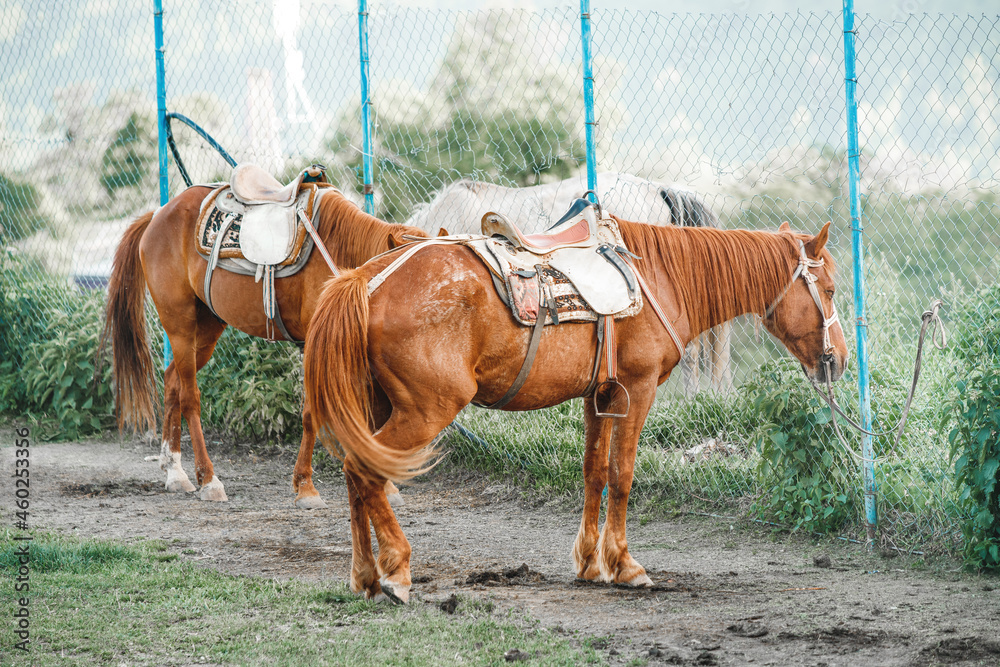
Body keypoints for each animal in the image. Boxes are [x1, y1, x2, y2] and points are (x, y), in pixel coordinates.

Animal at [101, 182, 427, 503]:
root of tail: (158, 214)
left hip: (205, 328)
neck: (340, 253)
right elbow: (311, 414)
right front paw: (305, 485)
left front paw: (385, 486)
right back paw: (208, 479)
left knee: (172, 383)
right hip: (179, 324)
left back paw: (174, 471)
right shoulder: (314, 344)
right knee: (190, 397)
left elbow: (371, 416)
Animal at [302, 219, 848, 602]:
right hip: (424, 410)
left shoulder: (599, 395)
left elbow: (594, 471)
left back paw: (365, 575)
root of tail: (366, 278)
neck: (659, 277)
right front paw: (625, 566)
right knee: (366, 471)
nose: (839, 359)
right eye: (829, 290)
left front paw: (589, 562)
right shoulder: (637, 389)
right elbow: (623, 474)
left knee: (355, 474)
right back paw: (396, 571)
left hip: (378, 407)